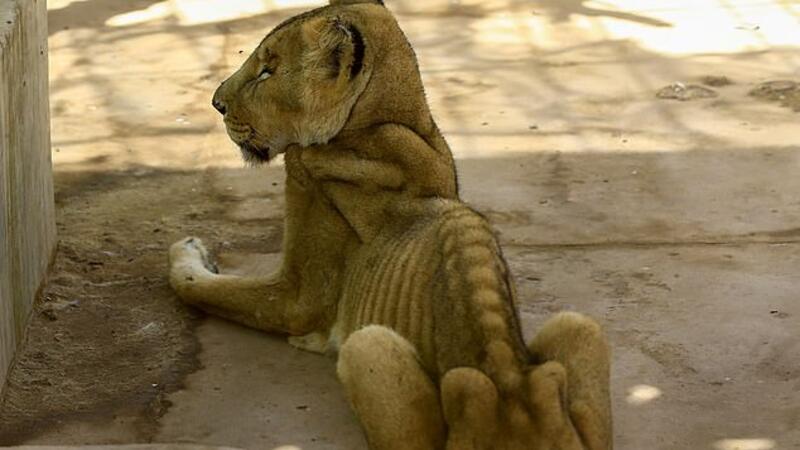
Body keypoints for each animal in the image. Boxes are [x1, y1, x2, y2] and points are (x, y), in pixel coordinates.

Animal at [168, 1, 612, 449]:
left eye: (267, 72)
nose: (216, 104)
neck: (386, 125)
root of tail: (512, 404)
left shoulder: (298, 297)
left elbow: (201, 287)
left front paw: (187, 249)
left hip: (366, 344)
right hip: (581, 325)